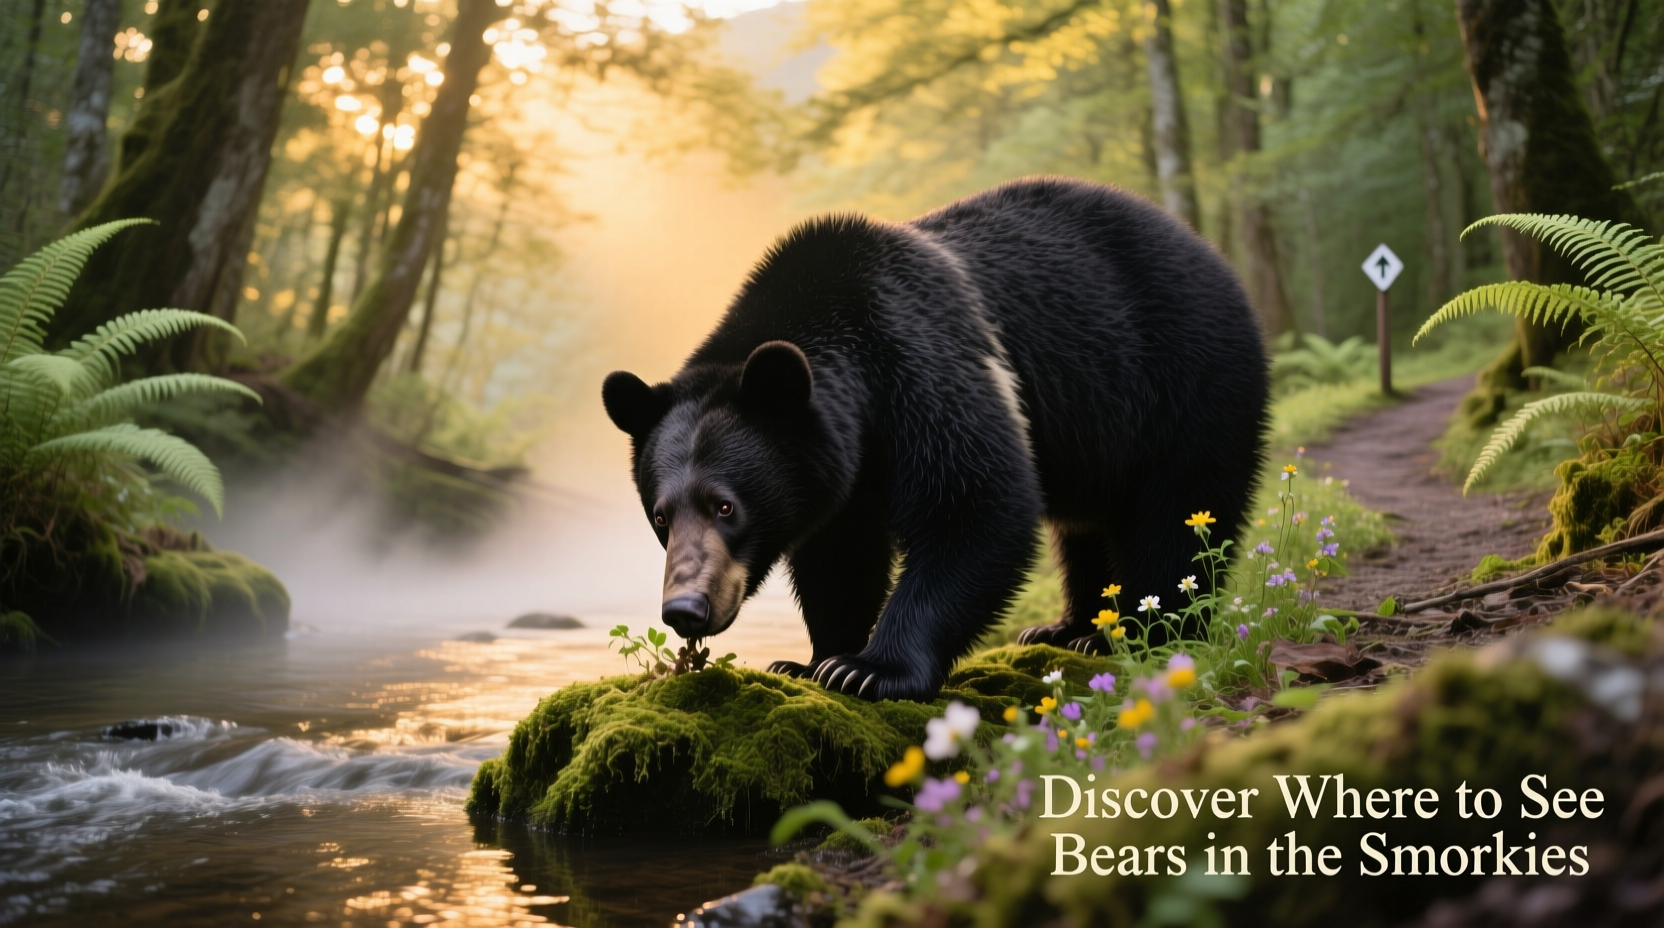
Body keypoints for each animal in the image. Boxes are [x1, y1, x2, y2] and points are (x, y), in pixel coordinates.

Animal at [602, 176, 1268, 702]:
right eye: (660, 516)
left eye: (725, 506)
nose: (685, 609)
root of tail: (1210, 253)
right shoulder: (843, 461)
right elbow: (838, 555)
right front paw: (810, 660)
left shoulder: (921, 364)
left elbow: (974, 505)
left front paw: (869, 669)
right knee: (1084, 525)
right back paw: (1070, 627)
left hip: (1182, 382)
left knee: (1179, 512)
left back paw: (1151, 629)